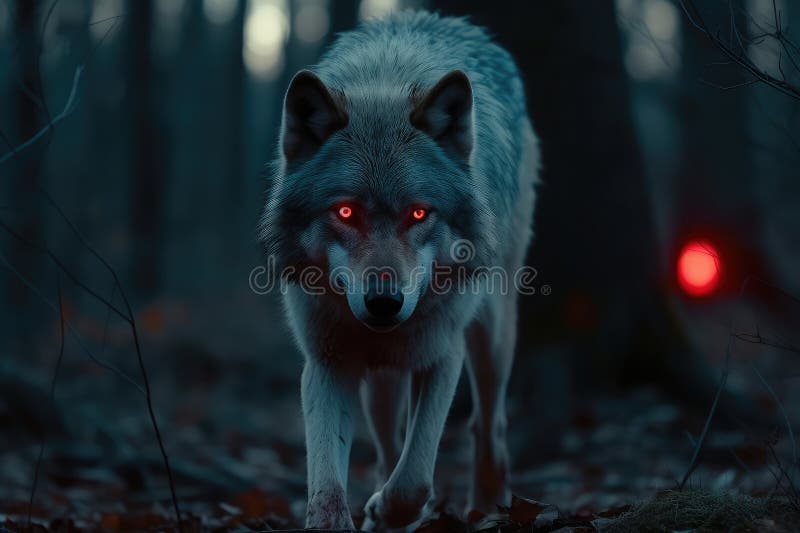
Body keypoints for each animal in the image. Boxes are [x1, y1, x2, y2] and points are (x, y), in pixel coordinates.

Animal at [260, 11, 539, 531]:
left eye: (419, 213)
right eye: (346, 212)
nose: (384, 301)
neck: (384, 82)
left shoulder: (442, 354)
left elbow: (415, 480)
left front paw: (392, 510)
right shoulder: (326, 363)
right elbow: (328, 484)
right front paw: (353, 516)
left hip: (491, 333)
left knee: (488, 422)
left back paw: (489, 506)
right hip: (381, 382)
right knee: (389, 447)